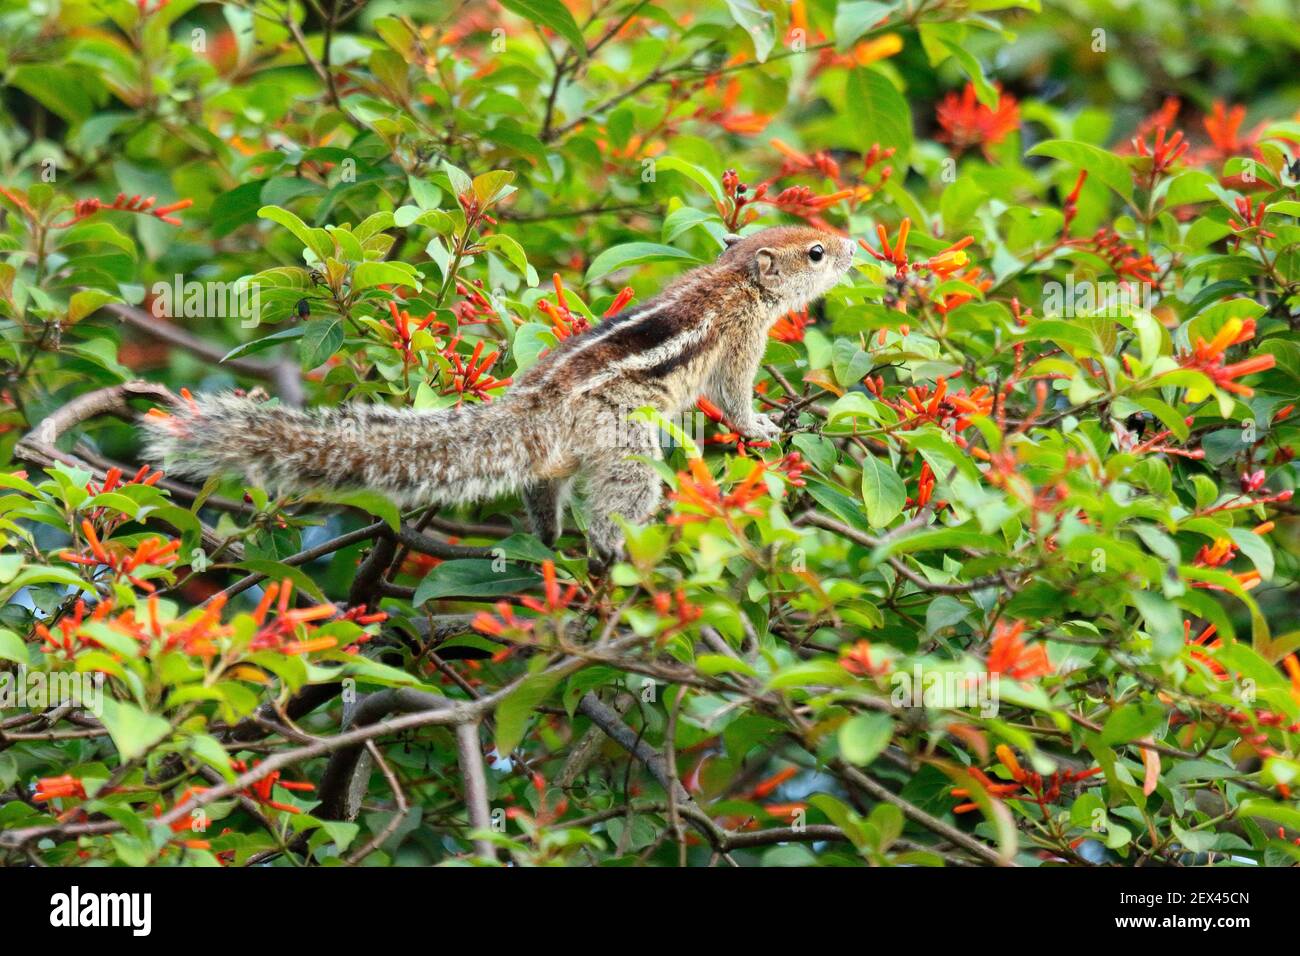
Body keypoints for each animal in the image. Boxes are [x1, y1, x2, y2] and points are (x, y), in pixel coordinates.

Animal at [142, 226, 856, 565]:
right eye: (816, 253)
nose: (853, 245)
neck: (737, 278)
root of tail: (534, 407)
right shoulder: (740, 341)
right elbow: (733, 396)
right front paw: (759, 427)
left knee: (544, 486)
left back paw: (548, 536)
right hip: (624, 442)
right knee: (619, 500)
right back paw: (616, 551)